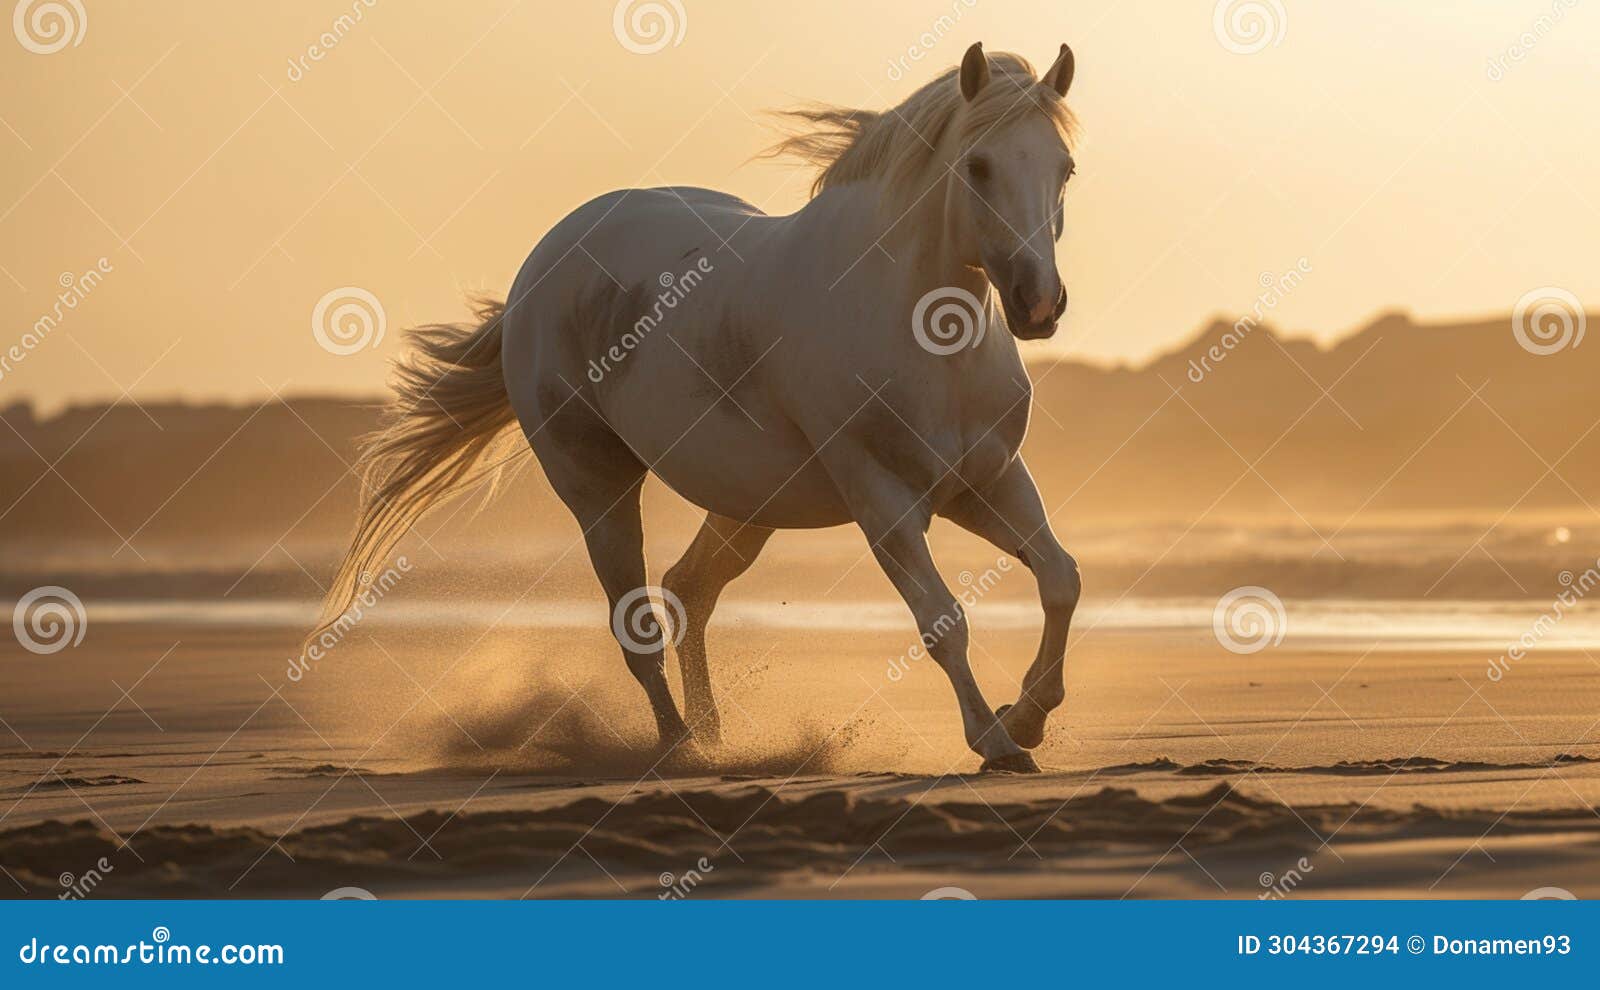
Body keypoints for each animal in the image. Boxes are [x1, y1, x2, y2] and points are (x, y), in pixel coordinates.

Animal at [312, 42, 1083, 773]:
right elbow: (943, 621)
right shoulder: (884, 500)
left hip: (747, 505)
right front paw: (996, 743)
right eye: (979, 166)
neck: (923, 335)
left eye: (1066, 168)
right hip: (596, 489)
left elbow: (1060, 579)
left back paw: (712, 739)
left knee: (689, 591)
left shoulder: (986, 483)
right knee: (639, 625)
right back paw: (678, 747)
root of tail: (541, 266)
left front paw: (1027, 719)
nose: (1037, 303)